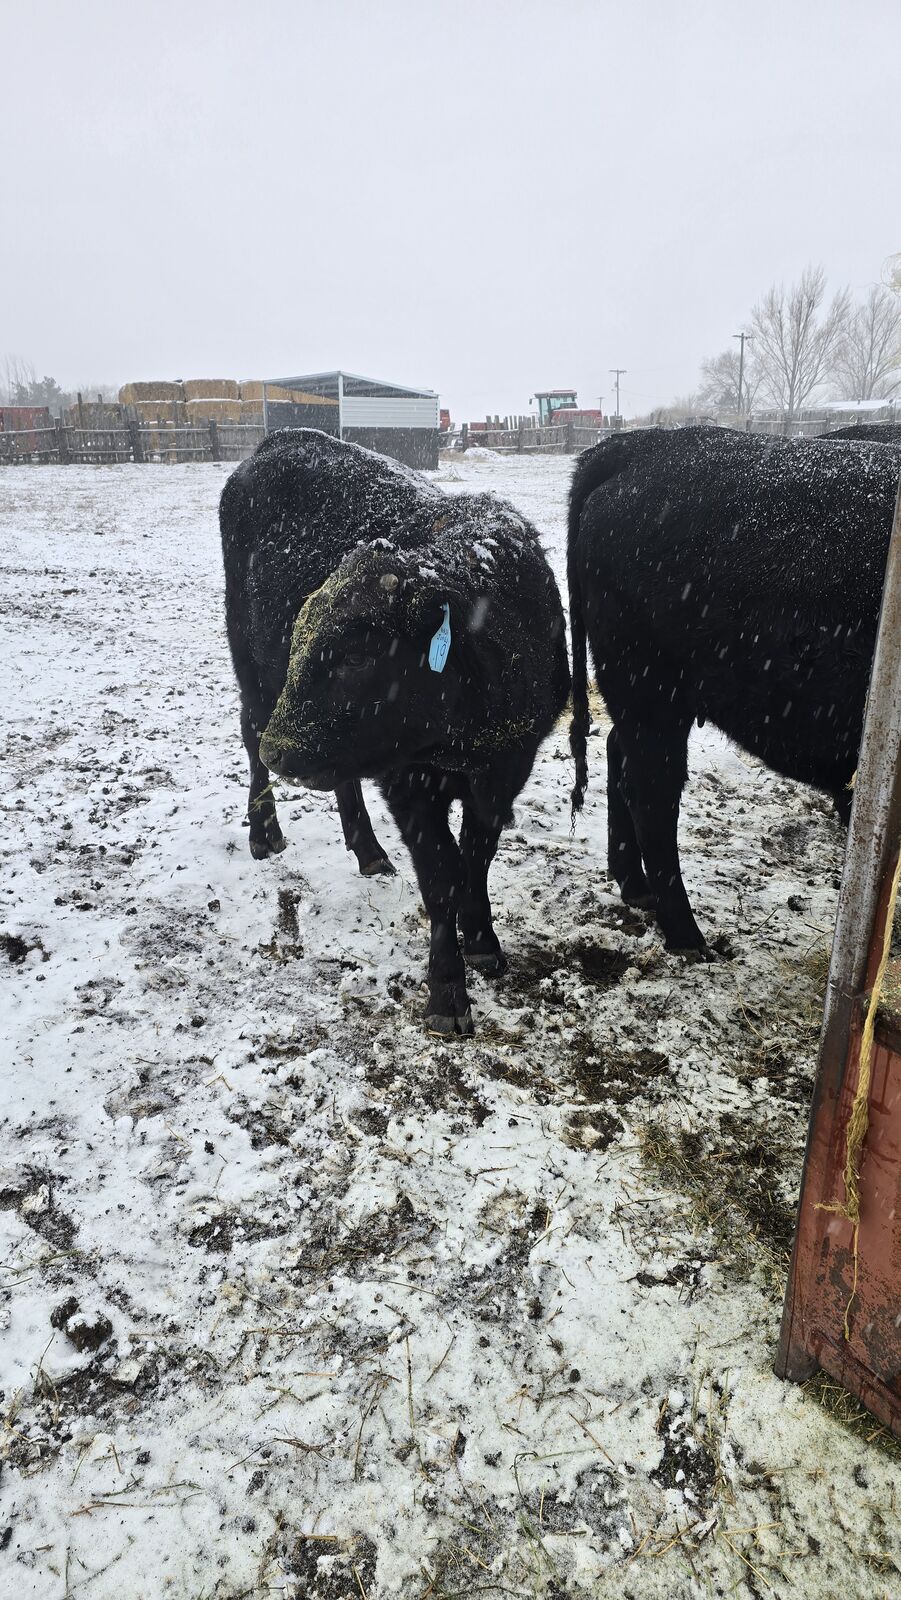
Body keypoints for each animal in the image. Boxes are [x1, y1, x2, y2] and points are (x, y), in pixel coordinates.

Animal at [221, 429, 570, 1035]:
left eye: (358, 653)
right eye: (301, 635)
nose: (284, 749)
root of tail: (280, 441)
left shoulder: (506, 770)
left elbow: (477, 857)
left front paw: (484, 940)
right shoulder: (409, 783)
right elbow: (440, 876)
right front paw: (447, 991)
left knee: (340, 777)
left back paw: (366, 848)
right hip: (251, 664)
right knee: (249, 733)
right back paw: (264, 831)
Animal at [567, 425, 900, 953]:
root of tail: (638, 445)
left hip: (645, 700)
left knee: (620, 758)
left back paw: (636, 887)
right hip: (653, 694)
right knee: (652, 797)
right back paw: (687, 935)